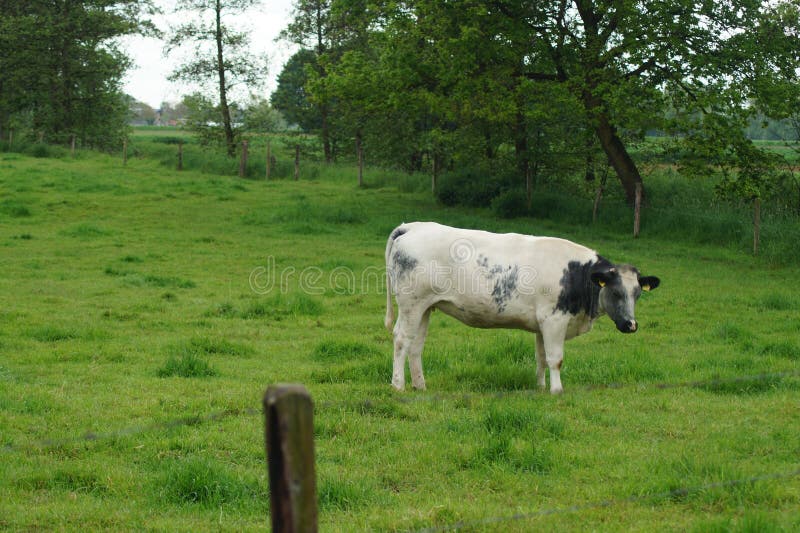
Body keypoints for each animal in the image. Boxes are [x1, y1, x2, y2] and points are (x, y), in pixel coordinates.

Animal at [384, 222, 660, 394]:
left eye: (637, 294)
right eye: (615, 292)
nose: (631, 325)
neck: (576, 274)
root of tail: (413, 226)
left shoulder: (541, 324)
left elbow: (541, 358)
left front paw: (540, 388)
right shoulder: (554, 320)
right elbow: (555, 359)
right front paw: (557, 390)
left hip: (425, 307)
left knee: (416, 345)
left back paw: (420, 385)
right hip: (410, 304)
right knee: (401, 339)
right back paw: (398, 385)